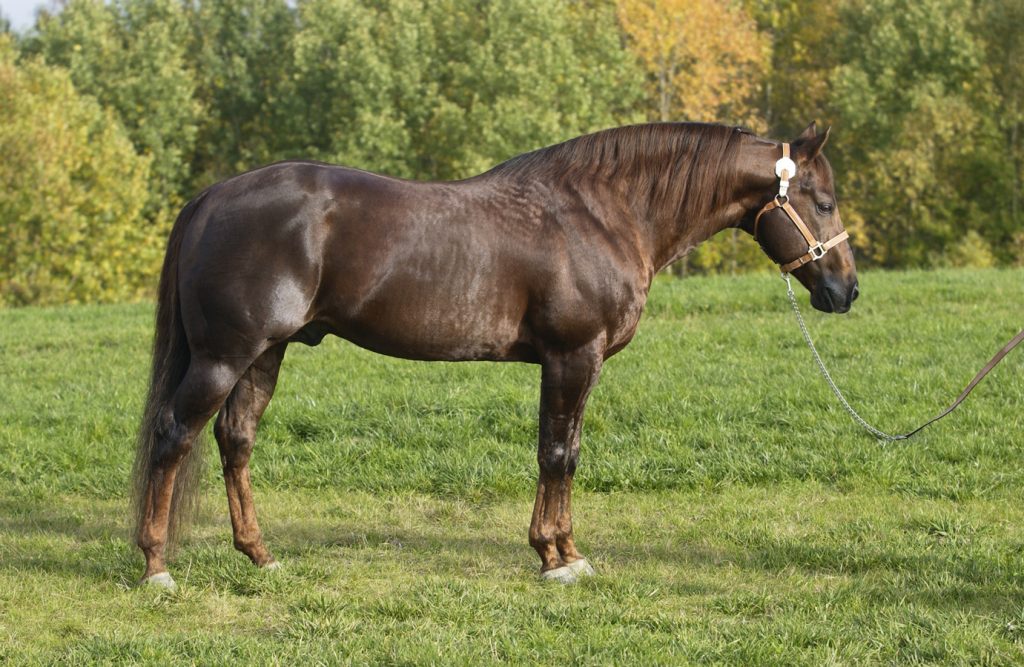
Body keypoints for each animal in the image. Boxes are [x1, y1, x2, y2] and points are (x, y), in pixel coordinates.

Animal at [131, 121, 858, 588]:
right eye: (822, 201)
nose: (845, 290)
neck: (600, 214)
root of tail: (213, 197)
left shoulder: (577, 362)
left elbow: (566, 452)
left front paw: (563, 549)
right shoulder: (572, 356)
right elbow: (557, 453)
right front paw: (557, 558)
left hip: (265, 353)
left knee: (235, 440)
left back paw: (260, 555)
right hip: (225, 356)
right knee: (173, 436)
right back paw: (156, 566)